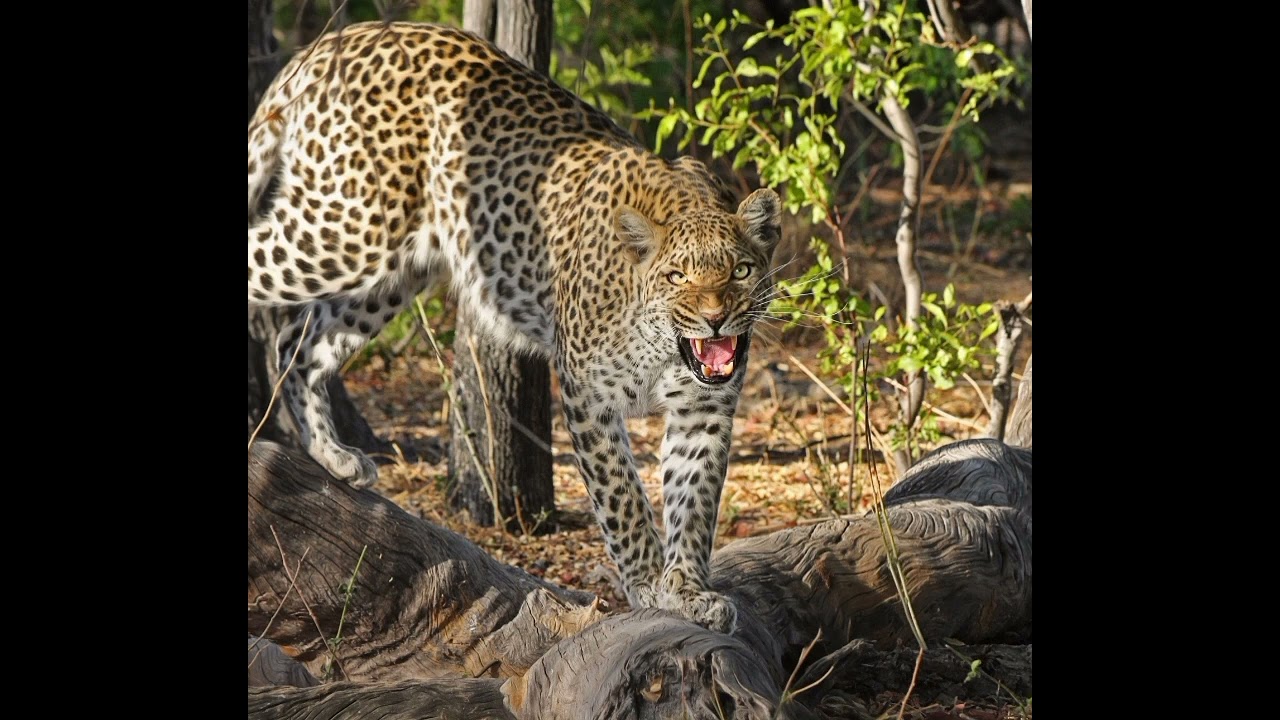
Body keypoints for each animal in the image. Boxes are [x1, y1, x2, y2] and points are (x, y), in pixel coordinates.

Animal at [247, 21, 782, 633]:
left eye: (740, 271)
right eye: (677, 276)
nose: (716, 318)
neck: (664, 348)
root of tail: (332, 41)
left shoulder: (704, 410)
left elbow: (693, 502)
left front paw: (688, 590)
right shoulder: (587, 394)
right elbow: (622, 498)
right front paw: (649, 585)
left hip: (390, 272)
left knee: (298, 341)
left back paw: (332, 454)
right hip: (343, 229)